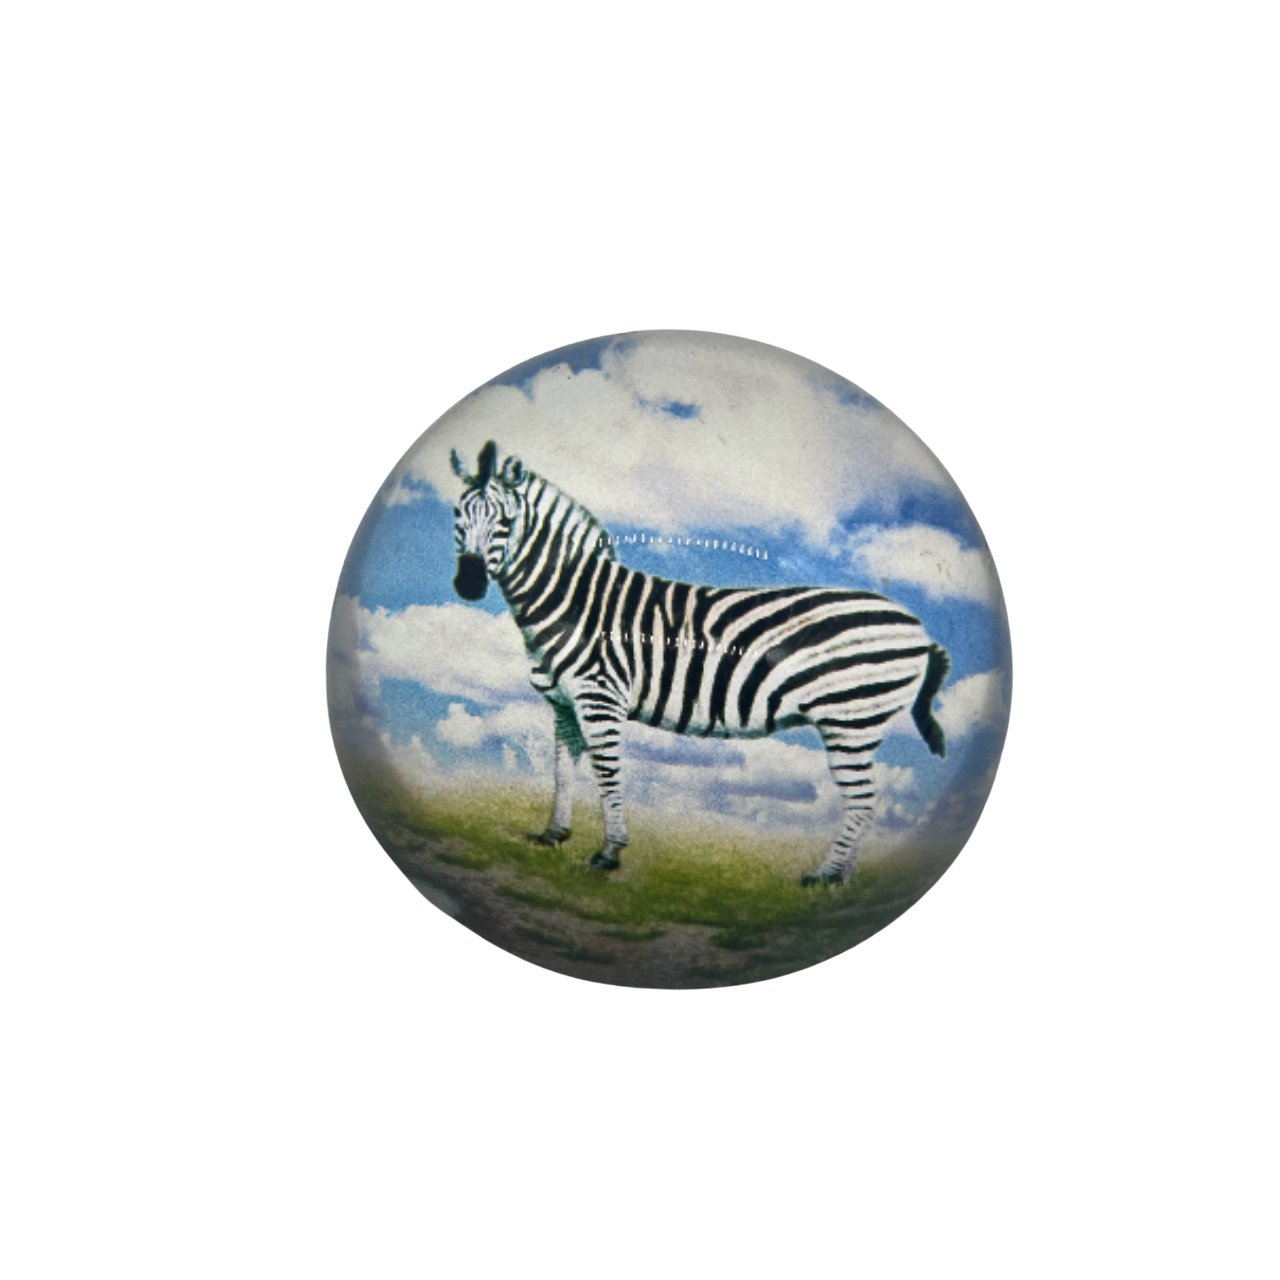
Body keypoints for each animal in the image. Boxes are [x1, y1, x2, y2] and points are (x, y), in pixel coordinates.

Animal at [450, 440, 950, 887]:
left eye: (506, 521)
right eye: (456, 515)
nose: (469, 584)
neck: (576, 601)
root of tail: (919, 628)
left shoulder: (600, 697)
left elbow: (607, 772)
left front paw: (609, 852)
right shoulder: (564, 704)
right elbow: (561, 771)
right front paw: (554, 834)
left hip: (850, 719)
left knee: (862, 801)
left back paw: (823, 877)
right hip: (856, 722)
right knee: (864, 803)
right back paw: (840, 882)